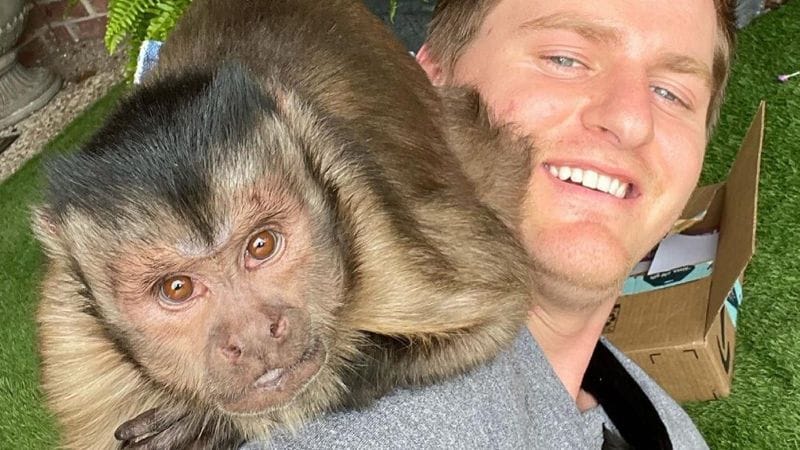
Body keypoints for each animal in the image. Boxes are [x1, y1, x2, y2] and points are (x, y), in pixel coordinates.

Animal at [33, 0, 534, 448]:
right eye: (177, 288)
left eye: (261, 245)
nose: (254, 333)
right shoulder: (76, 354)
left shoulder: (369, 216)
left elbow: (497, 314)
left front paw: (212, 422)